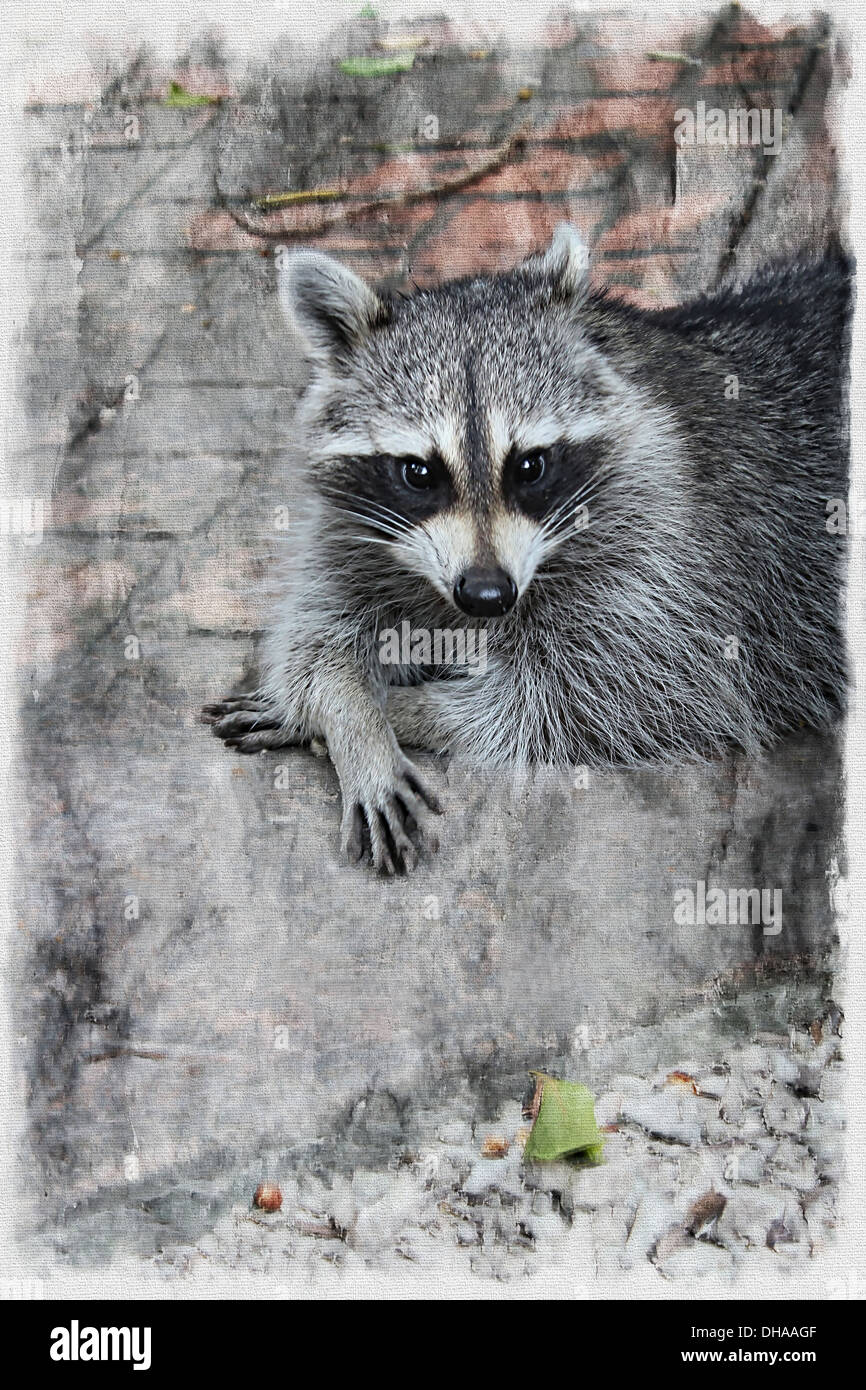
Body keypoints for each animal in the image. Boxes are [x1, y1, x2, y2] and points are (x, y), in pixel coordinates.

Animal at [203, 224, 851, 873]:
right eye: (418, 472)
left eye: (530, 466)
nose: (486, 594)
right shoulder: (351, 527)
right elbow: (322, 631)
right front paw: (348, 712)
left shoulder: (677, 552)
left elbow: (609, 696)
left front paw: (406, 708)